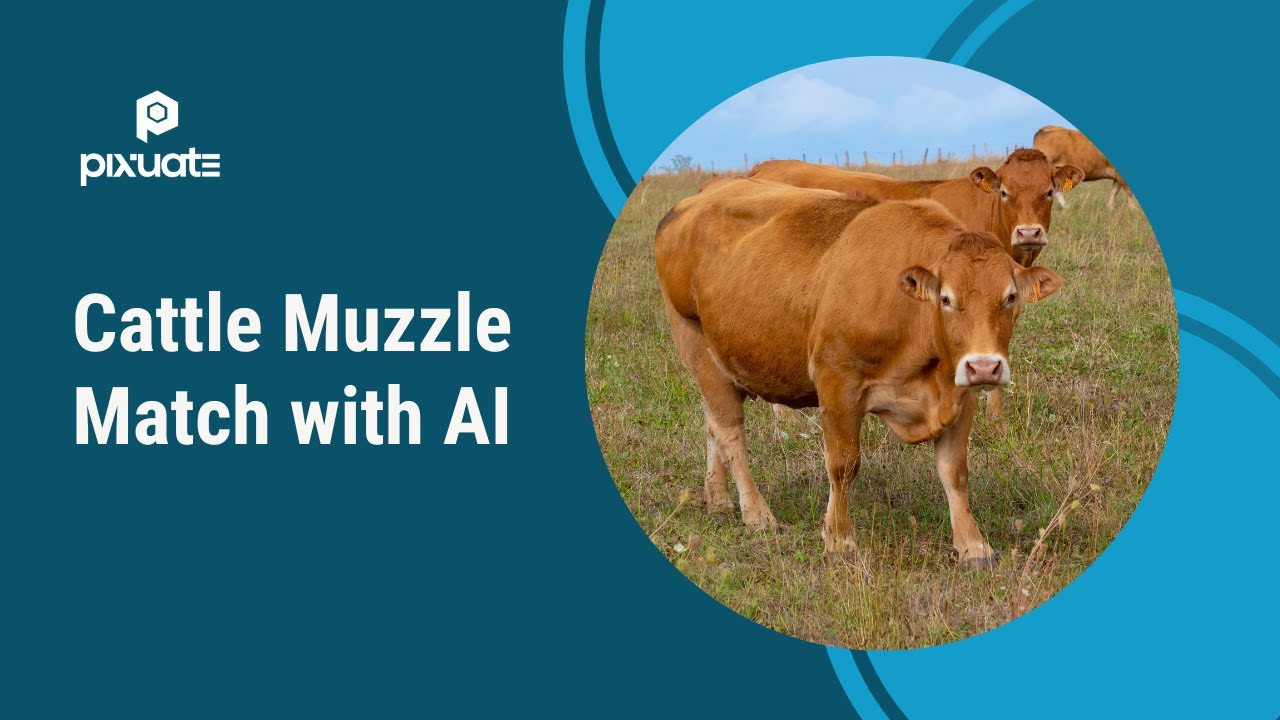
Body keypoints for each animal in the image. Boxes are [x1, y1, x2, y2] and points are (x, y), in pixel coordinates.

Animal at [654, 177, 1063, 567]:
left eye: (1011, 296)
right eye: (946, 298)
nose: (984, 366)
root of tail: (700, 195)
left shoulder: (959, 394)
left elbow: (955, 471)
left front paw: (973, 545)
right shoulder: (837, 382)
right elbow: (843, 465)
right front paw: (839, 540)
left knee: (713, 424)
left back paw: (718, 498)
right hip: (696, 344)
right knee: (730, 432)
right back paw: (756, 513)